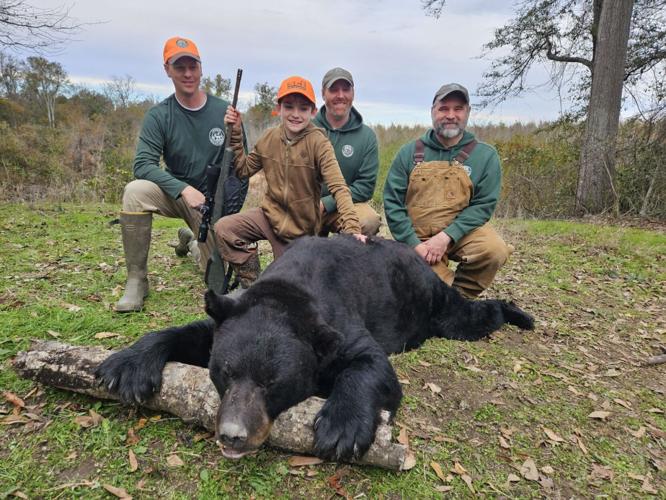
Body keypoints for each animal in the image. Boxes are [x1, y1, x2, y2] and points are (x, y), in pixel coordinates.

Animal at [96, 235, 534, 461]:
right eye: (224, 373)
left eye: (273, 383)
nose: (232, 436)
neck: (290, 292)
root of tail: (419, 258)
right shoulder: (235, 311)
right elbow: (191, 333)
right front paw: (126, 365)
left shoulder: (337, 324)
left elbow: (371, 365)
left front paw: (341, 427)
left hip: (433, 303)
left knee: (470, 315)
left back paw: (521, 316)